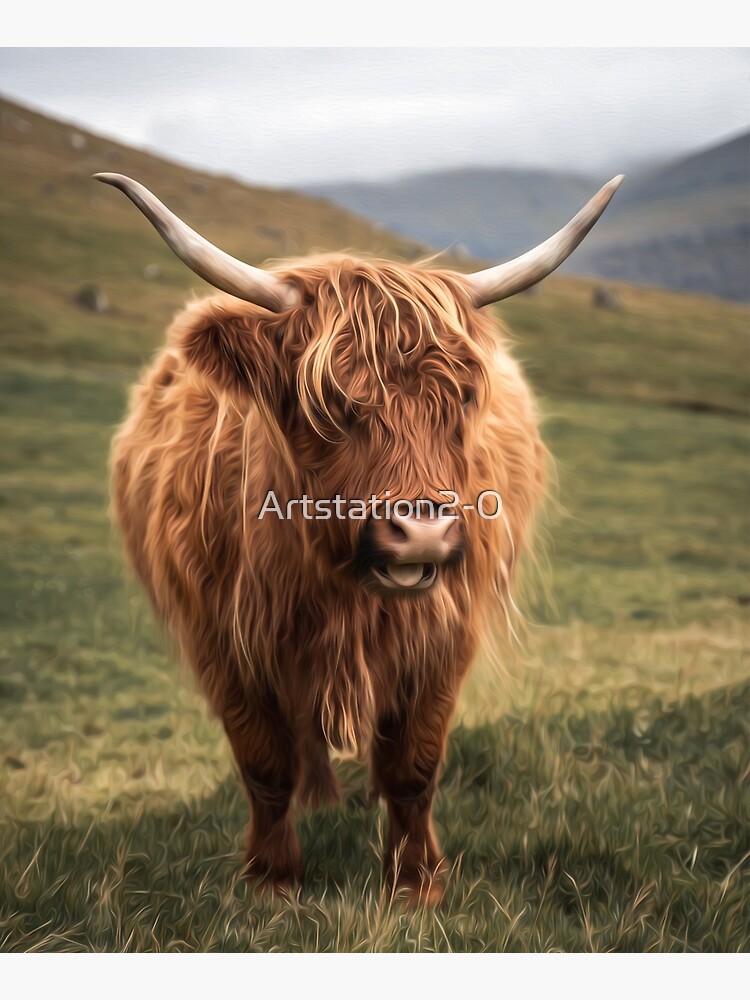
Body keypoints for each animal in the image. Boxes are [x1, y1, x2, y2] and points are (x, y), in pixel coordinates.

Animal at [98, 171, 622, 904]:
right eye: (330, 404)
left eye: (462, 399)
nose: (421, 531)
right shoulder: (222, 640)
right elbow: (264, 763)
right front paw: (272, 880)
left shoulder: (444, 636)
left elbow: (414, 766)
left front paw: (417, 883)